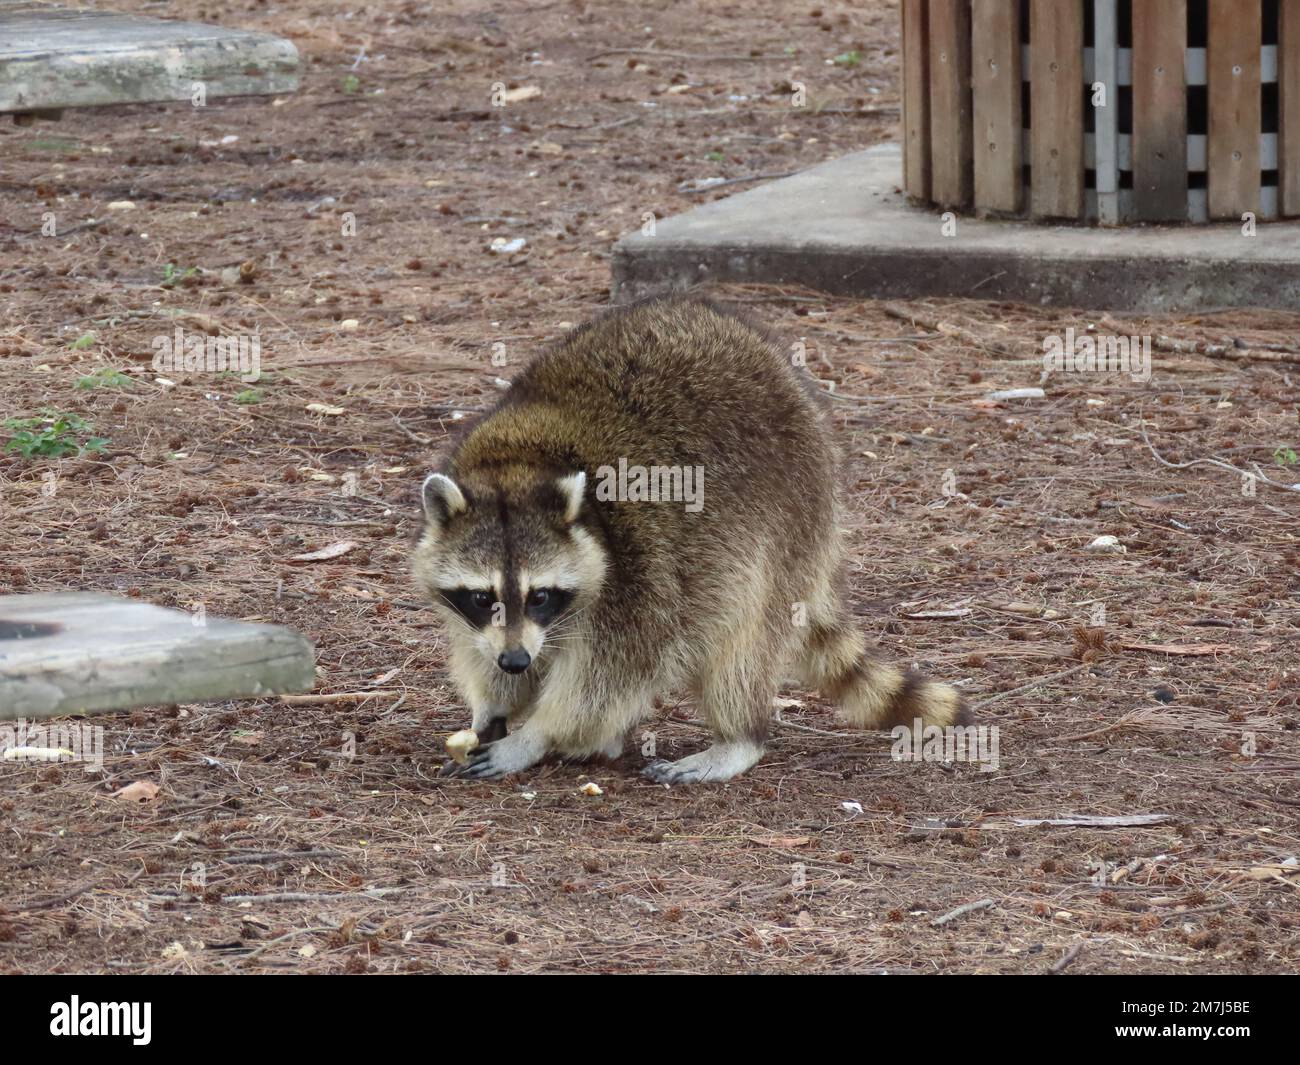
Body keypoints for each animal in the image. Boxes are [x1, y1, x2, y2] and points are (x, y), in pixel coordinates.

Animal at [412, 296, 969, 784]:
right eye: (481, 597)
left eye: (540, 595)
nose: (515, 661)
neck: (520, 464)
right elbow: (484, 646)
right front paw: (495, 702)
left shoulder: (642, 568)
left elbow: (609, 678)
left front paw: (536, 736)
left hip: (789, 519)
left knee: (742, 641)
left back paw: (739, 737)